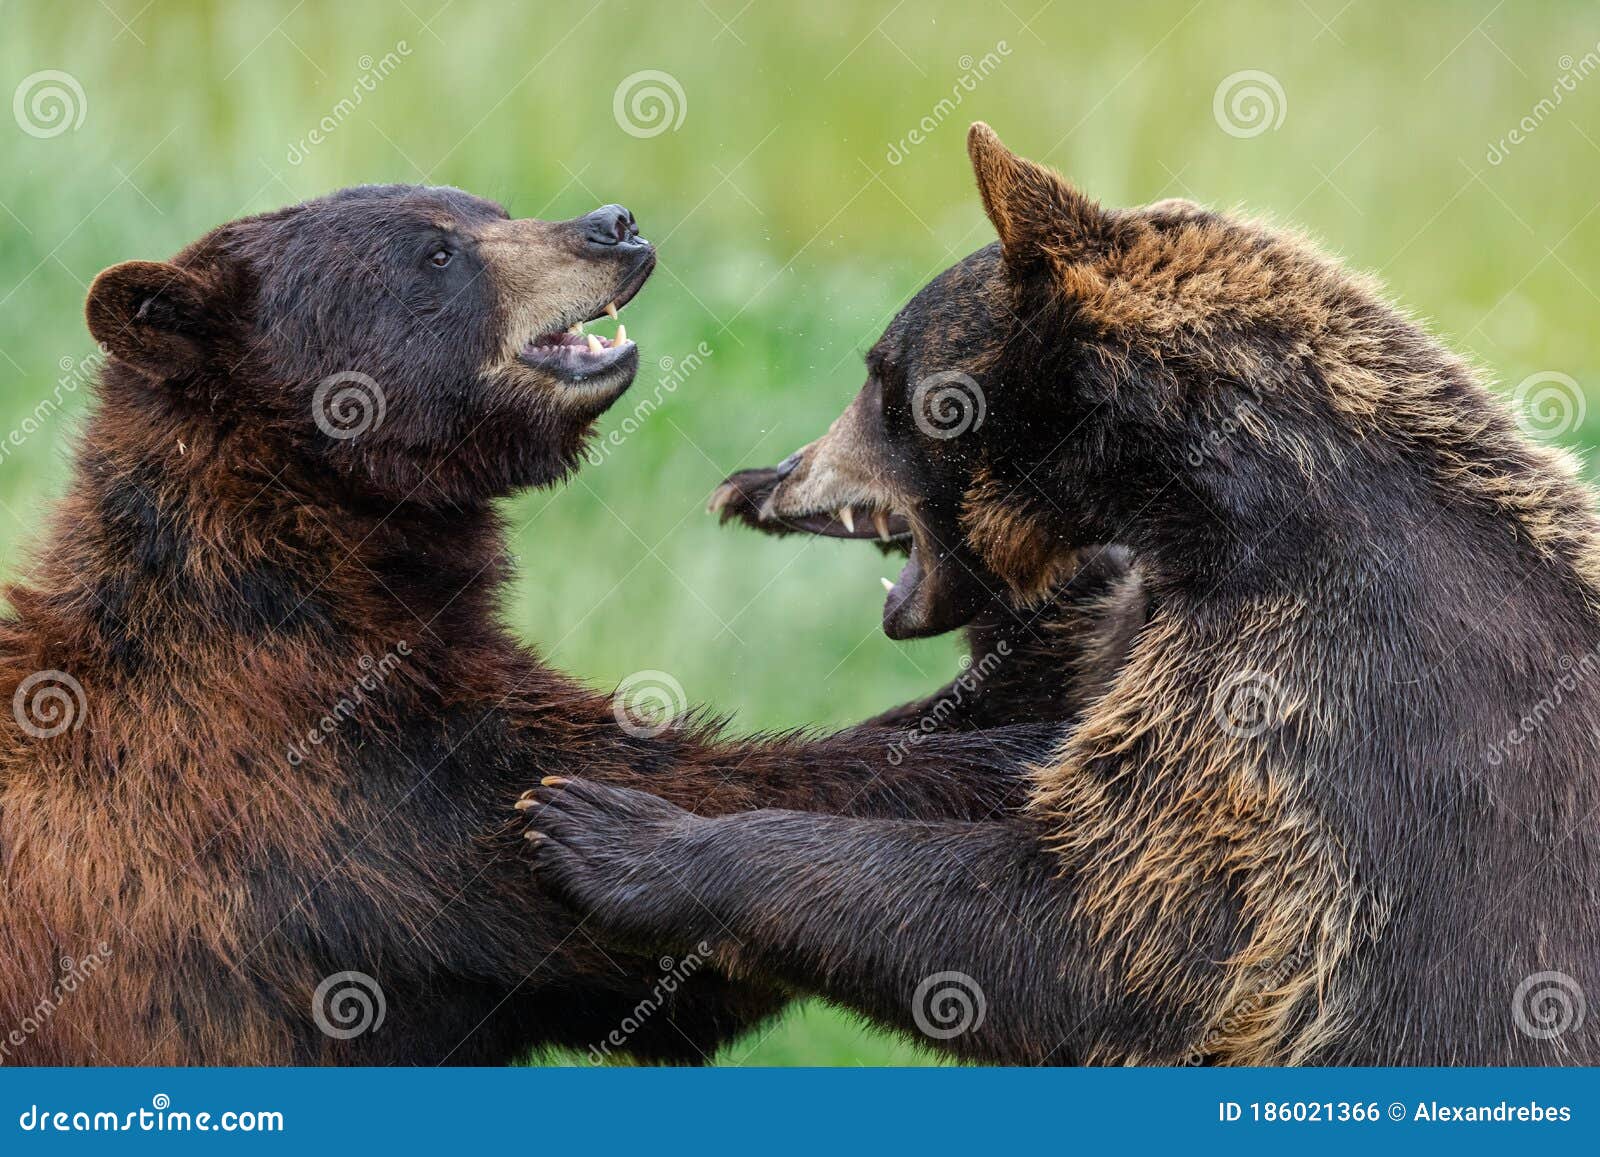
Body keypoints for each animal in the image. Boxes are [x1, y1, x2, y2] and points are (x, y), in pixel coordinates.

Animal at [0, 183, 1053, 1065]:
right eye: (434, 253)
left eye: (482, 205)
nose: (612, 224)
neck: (314, 544)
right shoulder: (323, 768)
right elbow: (632, 892)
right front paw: (1000, 750)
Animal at [518, 124, 1600, 1066]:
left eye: (879, 375)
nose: (773, 476)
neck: (1200, 507)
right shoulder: (1154, 626)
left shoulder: (1302, 711)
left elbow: (1090, 932)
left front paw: (609, 831)